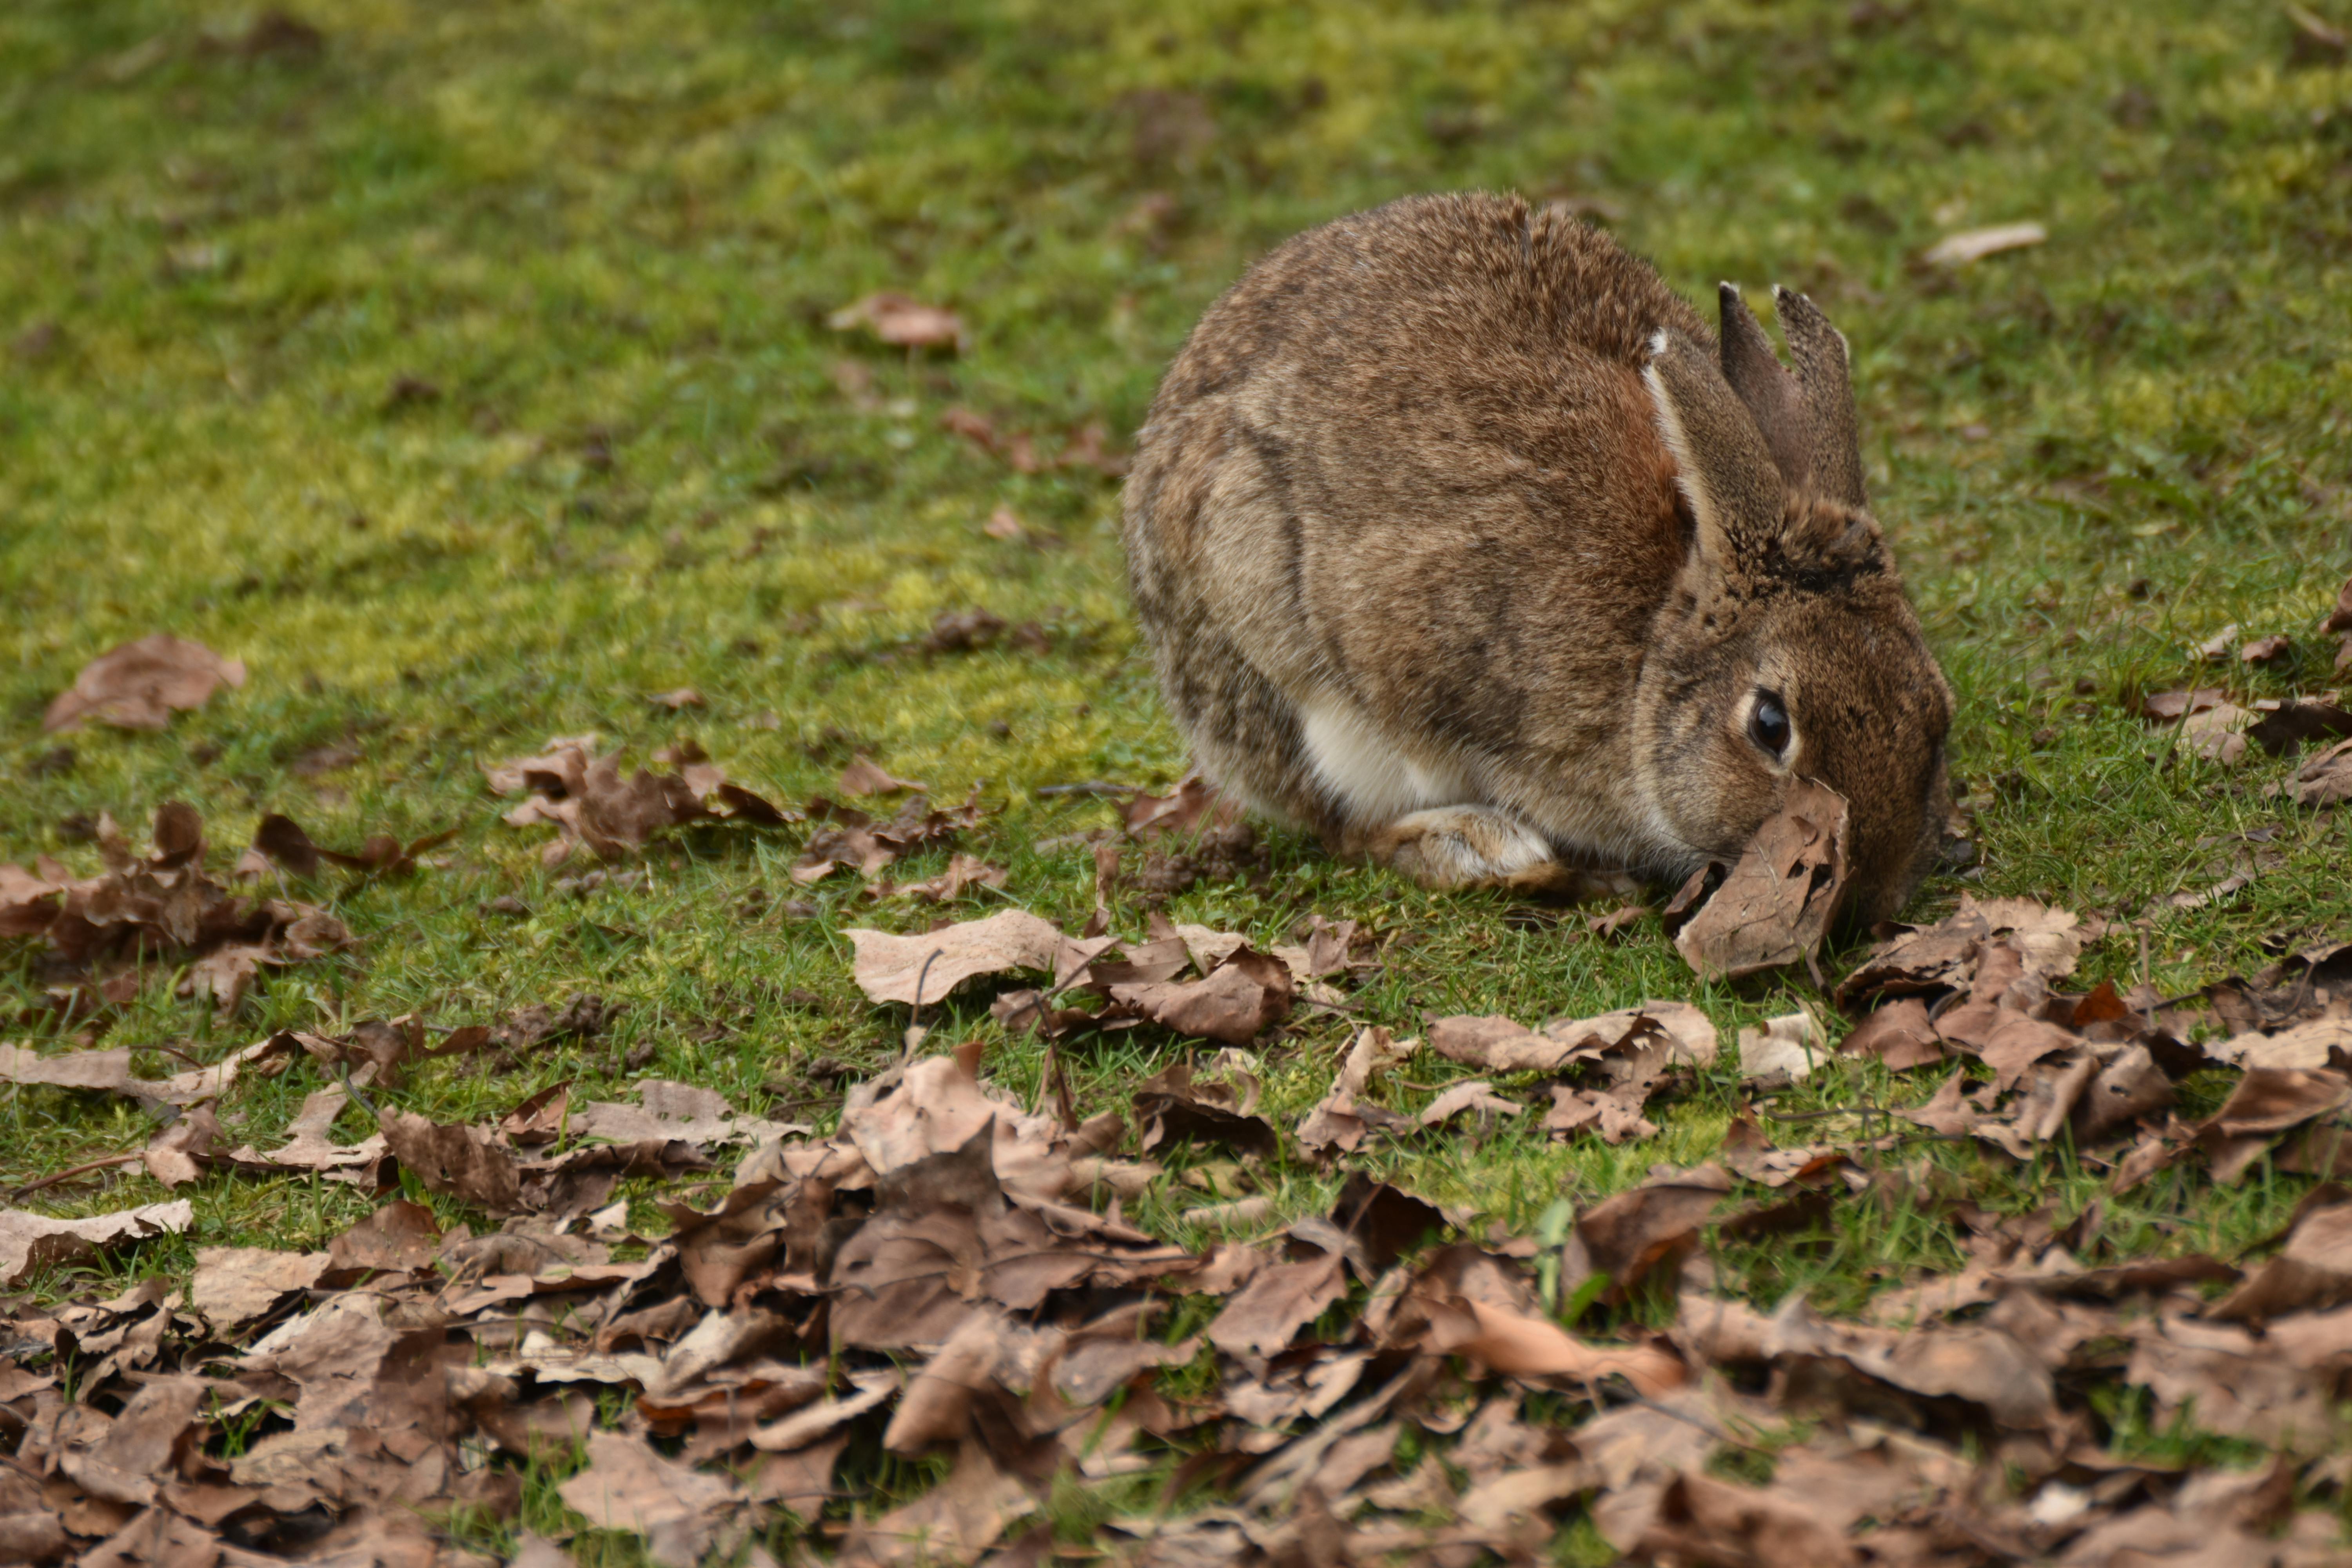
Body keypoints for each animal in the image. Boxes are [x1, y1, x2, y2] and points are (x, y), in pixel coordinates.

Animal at [1121, 191, 1953, 924]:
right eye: (1771, 726)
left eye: (1934, 706)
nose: (1870, 898)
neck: (1652, 645)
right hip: (1282, 665)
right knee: (1337, 822)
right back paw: (1486, 849)